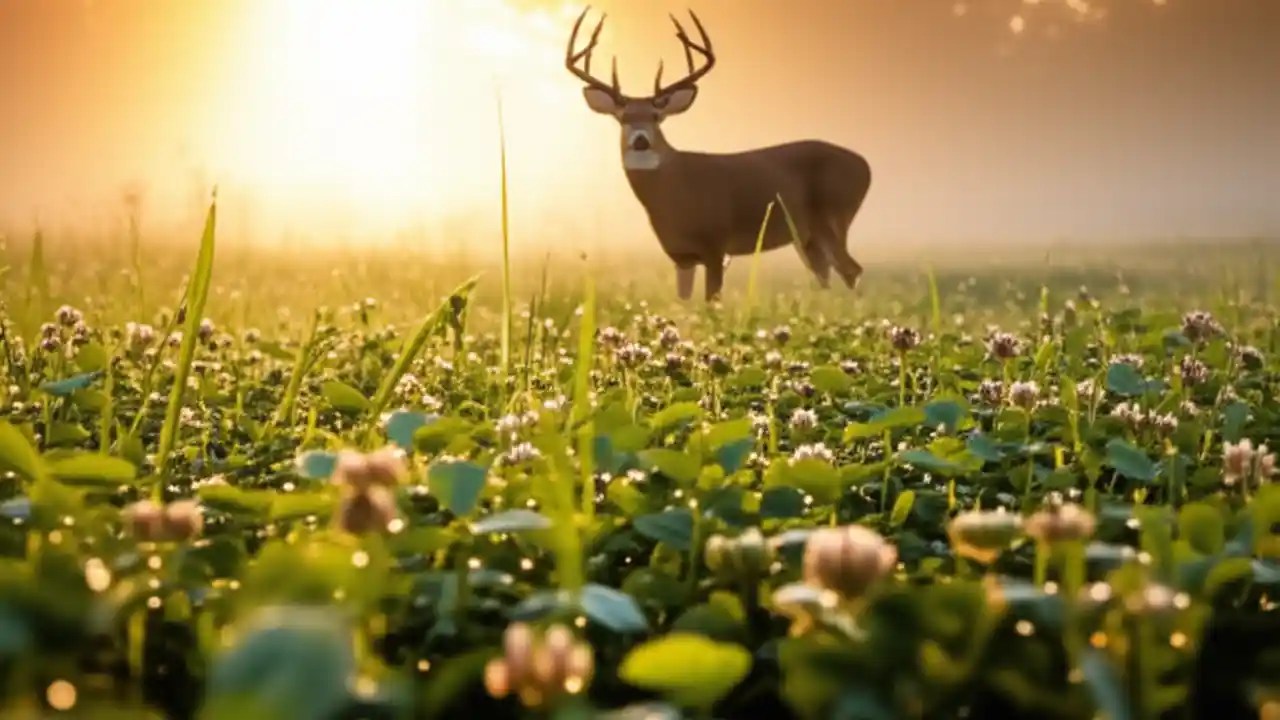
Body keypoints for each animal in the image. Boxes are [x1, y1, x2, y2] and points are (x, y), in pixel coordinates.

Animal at [565, 6, 873, 302]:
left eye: (656, 116)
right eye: (622, 118)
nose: (640, 141)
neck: (673, 194)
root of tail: (866, 166)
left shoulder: (716, 244)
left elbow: (712, 300)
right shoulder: (681, 256)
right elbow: (683, 303)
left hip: (833, 217)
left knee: (852, 270)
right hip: (808, 237)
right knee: (826, 275)